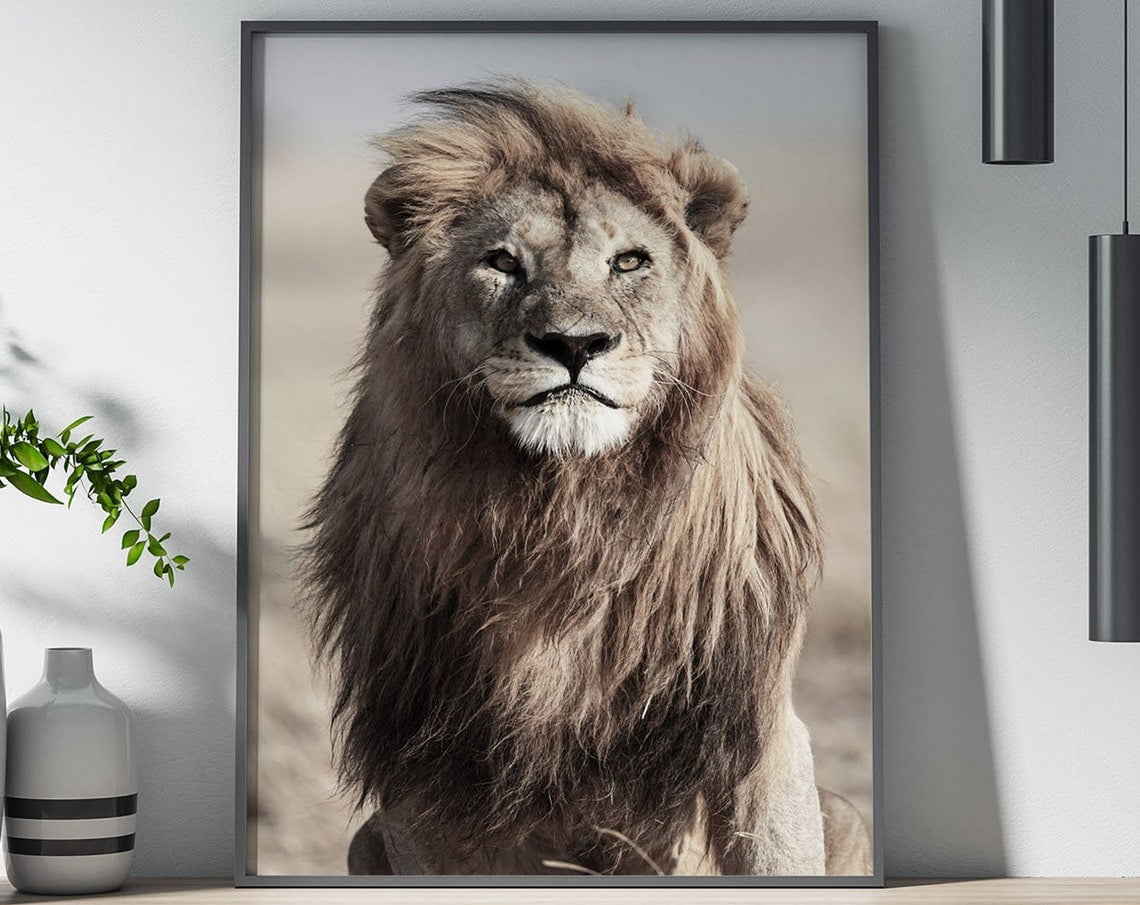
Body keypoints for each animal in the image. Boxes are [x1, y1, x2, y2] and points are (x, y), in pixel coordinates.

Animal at [303, 79, 871, 877]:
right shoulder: (422, 769)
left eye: (629, 262)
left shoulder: (755, 729)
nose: (574, 344)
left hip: (845, 814)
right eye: (502, 262)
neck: (566, 514)